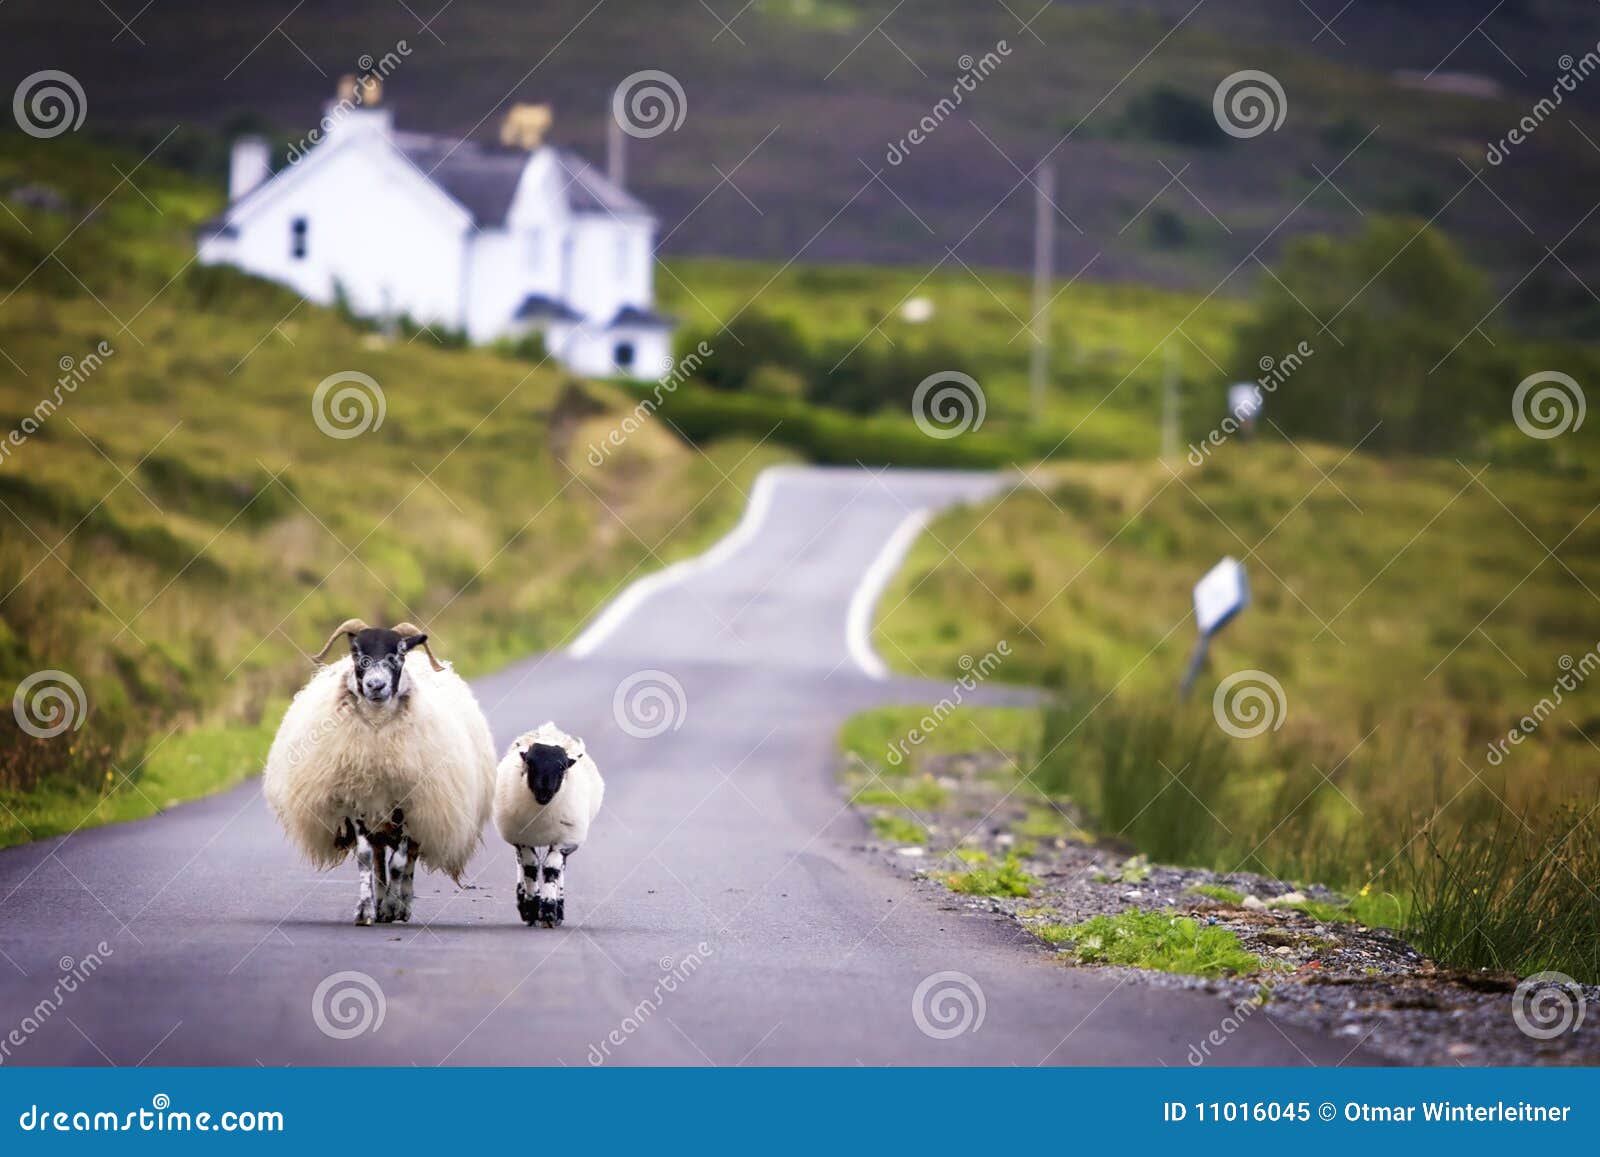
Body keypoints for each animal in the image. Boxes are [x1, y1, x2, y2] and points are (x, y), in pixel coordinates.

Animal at [263, 618, 496, 925]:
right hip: (378, 819)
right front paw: (365, 910)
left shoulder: (410, 803)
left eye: (399, 653)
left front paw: (393, 907)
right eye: (356, 652)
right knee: (377, 858)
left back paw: (401, 904)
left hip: (423, 811)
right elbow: (366, 858)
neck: (376, 732)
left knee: (408, 859)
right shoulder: (356, 801)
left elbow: (399, 863)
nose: (376, 685)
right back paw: (381, 899)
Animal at [493, 722, 604, 927]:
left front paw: (549, 911)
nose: (544, 790)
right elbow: (530, 867)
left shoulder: (564, 840)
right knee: (521, 863)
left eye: (561, 767)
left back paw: (558, 908)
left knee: (559, 868)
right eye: (530, 763)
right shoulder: (522, 839)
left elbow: (551, 869)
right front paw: (531, 908)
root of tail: (549, 730)